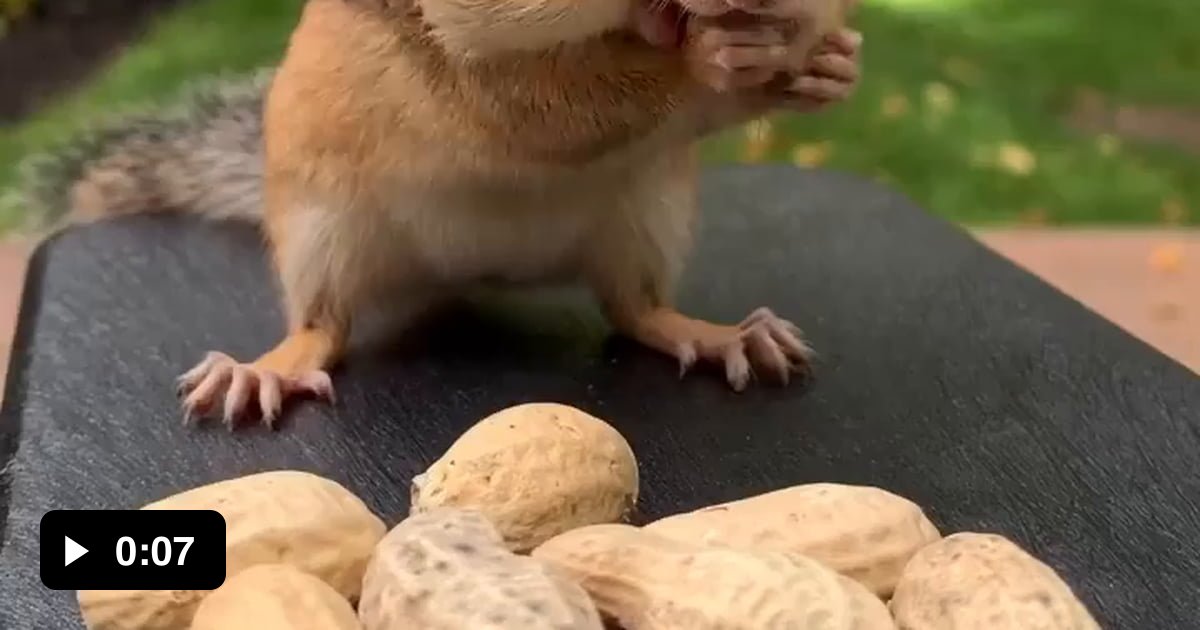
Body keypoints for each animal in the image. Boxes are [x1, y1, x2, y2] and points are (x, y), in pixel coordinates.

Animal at [17, 0, 862, 428]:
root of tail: (472, 268)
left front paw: (827, 63)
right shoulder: (453, 38)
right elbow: (545, 102)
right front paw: (703, 64)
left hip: (648, 214)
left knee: (635, 310)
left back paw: (718, 336)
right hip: (323, 230)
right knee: (324, 326)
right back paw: (265, 370)